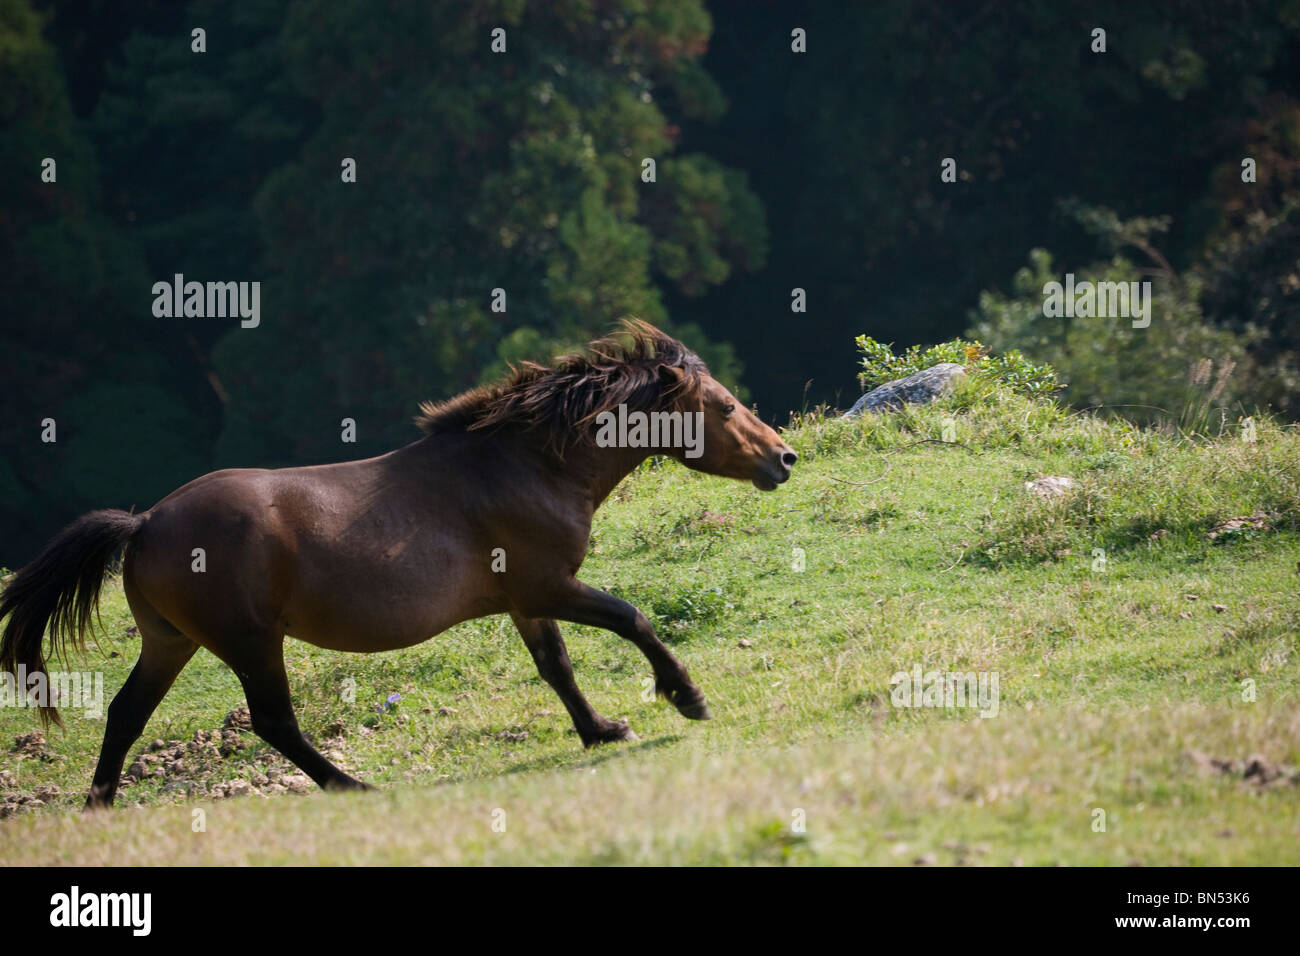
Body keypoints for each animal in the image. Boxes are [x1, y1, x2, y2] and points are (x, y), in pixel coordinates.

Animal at [0, 319, 797, 809]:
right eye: (726, 407)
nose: (784, 458)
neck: (526, 465)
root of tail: (143, 525)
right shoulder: (550, 584)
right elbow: (633, 619)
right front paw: (685, 698)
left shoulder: (526, 600)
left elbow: (558, 669)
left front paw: (602, 730)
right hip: (250, 642)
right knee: (271, 721)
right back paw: (352, 787)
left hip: (172, 642)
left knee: (126, 715)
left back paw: (101, 807)